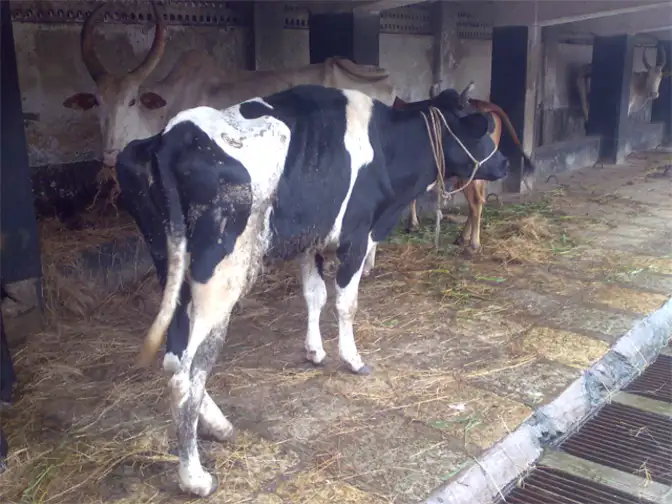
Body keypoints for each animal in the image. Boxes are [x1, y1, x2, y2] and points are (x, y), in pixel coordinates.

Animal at [115, 84, 512, 497]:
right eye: (480, 131)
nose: (504, 164)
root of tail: (171, 135)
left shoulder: (313, 240)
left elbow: (314, 295)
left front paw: (314, 351)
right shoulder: (356, 237)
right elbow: (345, 303)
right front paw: (351, 358)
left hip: (172, 269)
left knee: (176, 355)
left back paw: (219, 425)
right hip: (218, 279)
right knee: (185, 373)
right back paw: (194, 476)